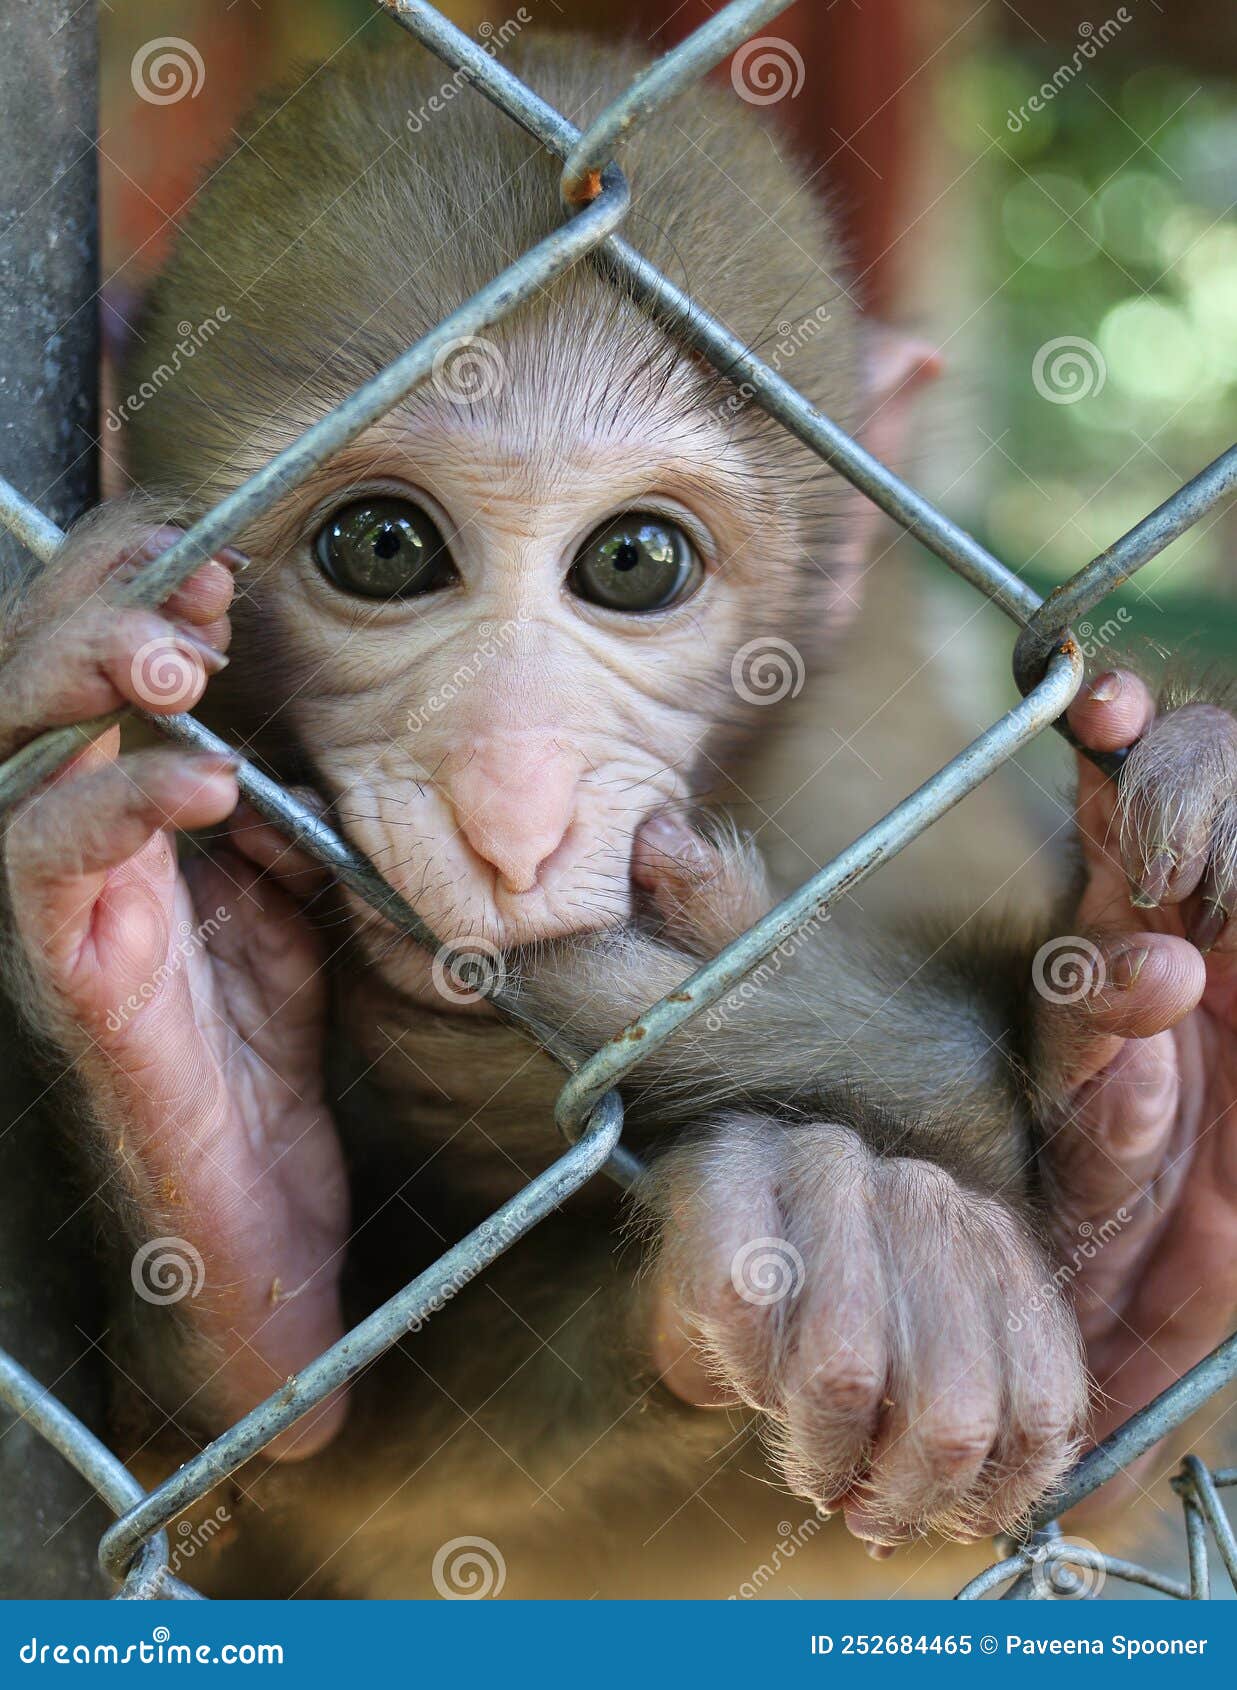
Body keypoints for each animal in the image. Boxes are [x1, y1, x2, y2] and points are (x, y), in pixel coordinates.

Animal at [1, 29, 1235, 1599]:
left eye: (633, 561)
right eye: (382, 545)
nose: (511, 812)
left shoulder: (882, 743)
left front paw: (765, 1035)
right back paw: (212, 1171)